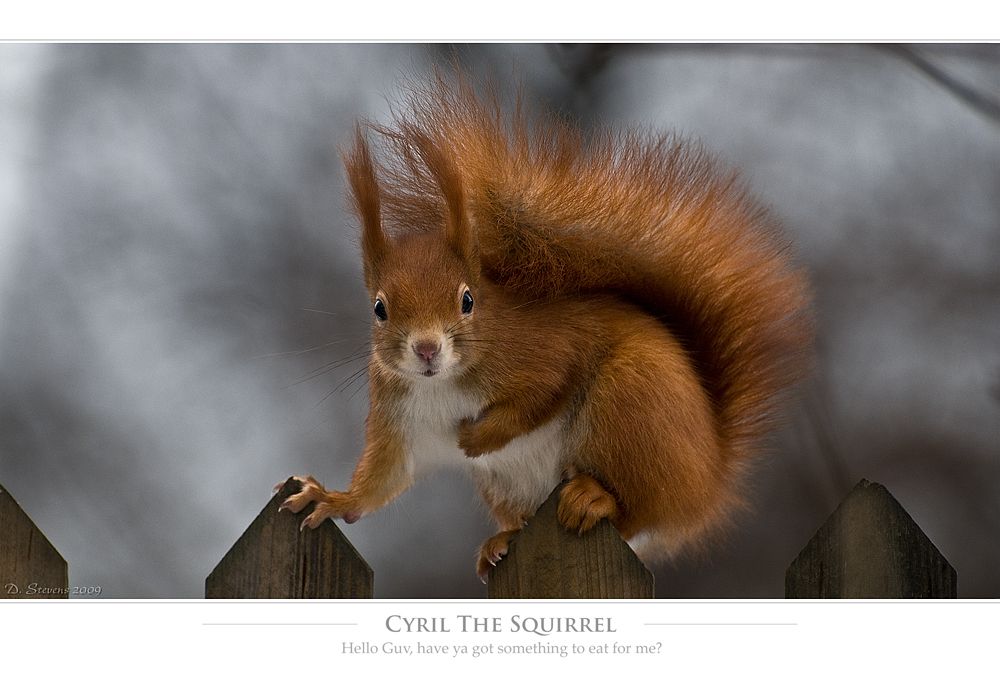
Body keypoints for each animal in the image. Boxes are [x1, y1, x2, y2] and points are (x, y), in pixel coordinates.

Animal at [280, 74, 813, 578]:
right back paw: (503, 540)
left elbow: (544, 391)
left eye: (468, 300)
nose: (427, 348)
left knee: (638, 512)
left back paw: (595, 498)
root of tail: (708, 479)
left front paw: (478, 438)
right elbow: (382, 480)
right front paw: (332, 499)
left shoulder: (544, 351)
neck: (444, 384)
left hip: (631, 405)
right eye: (379, 309)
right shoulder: (399, 419)